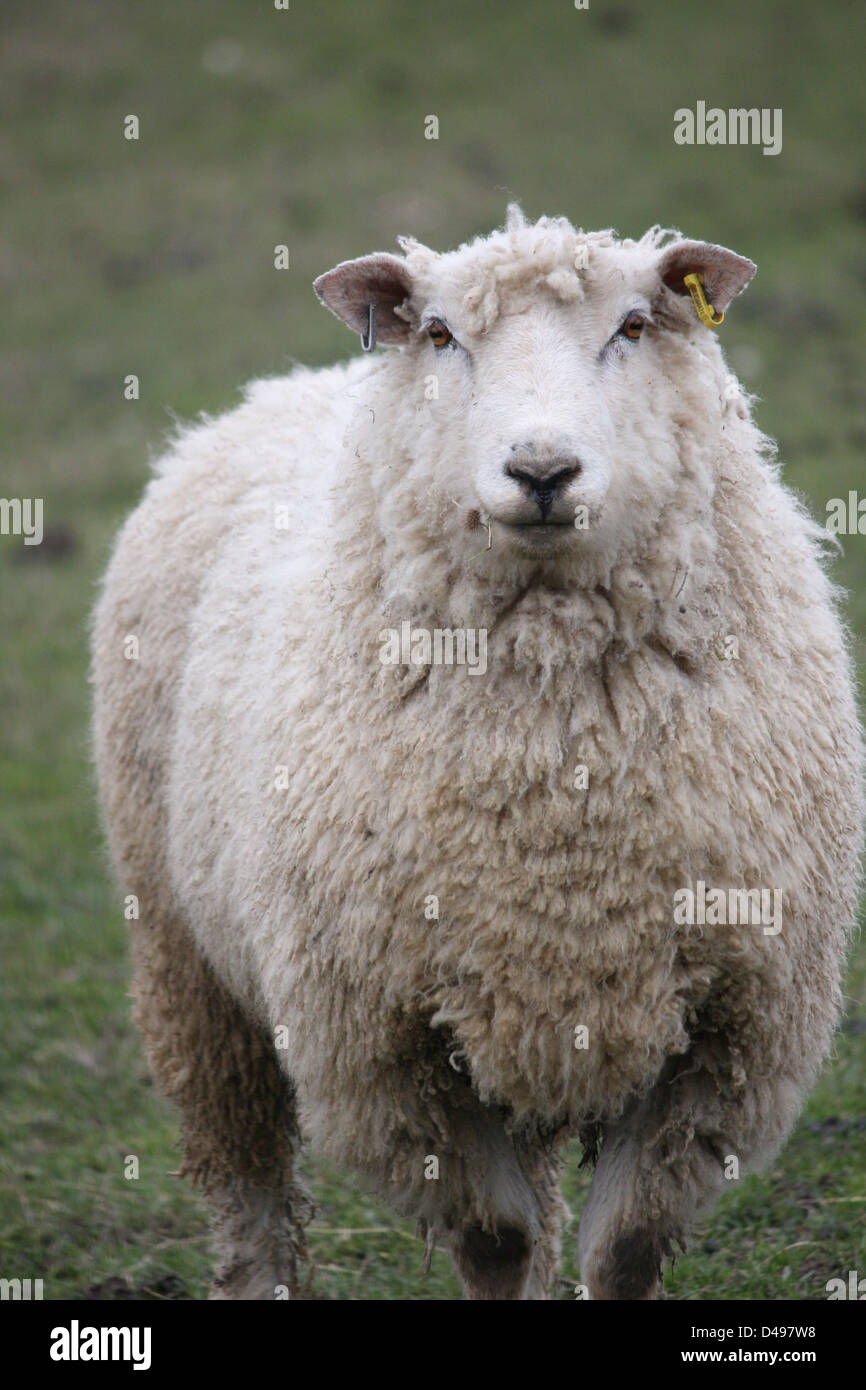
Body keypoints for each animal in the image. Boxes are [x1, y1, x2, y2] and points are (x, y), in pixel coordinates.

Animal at [92, 205, 864, 1301]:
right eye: (441, 333)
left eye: (634, 325)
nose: (541, 471)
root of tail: (276, 386)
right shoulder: (387, 1043)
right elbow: (495, 1241)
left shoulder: (725, 1033)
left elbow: (621, 1247)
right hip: (184, 958)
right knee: (247, 1178)